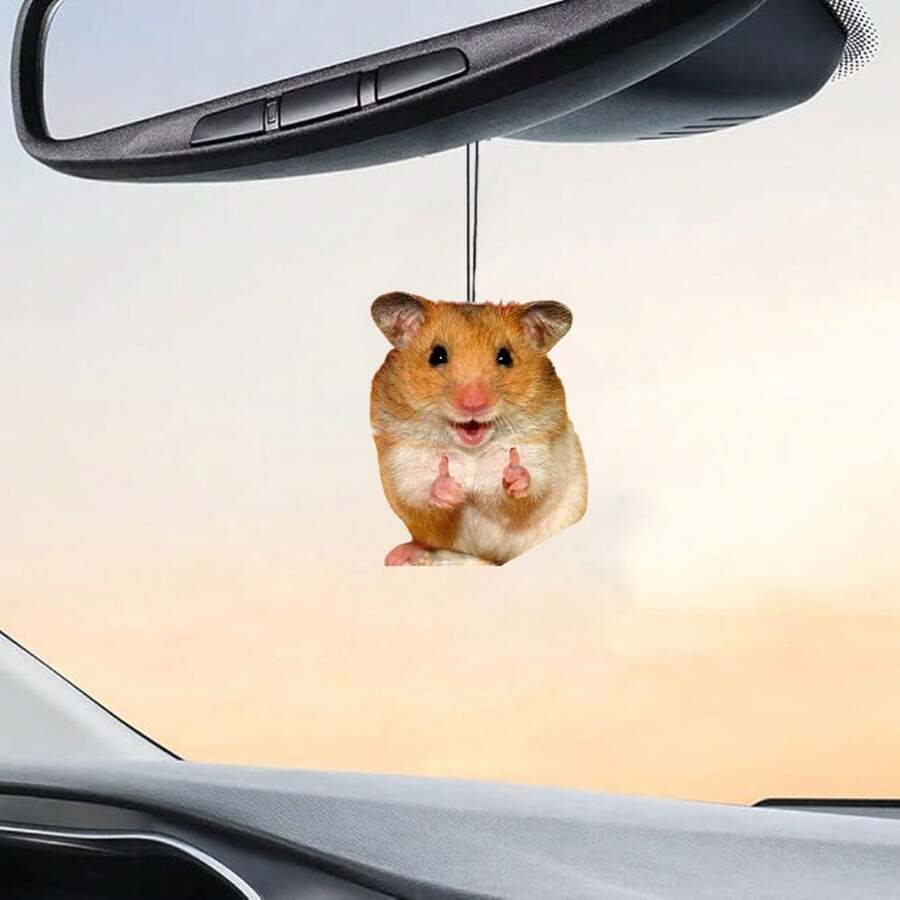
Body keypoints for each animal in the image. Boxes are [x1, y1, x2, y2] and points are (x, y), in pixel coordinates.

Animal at [370, 292, 588, 566]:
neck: (470, 449)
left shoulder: (542, 451)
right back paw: (401, 556)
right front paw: (452, 490)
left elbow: (534, 483)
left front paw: (512, 474)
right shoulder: (402, 458)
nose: (474, 404)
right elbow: (418, 489)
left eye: (505, 357)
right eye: (437, 355)